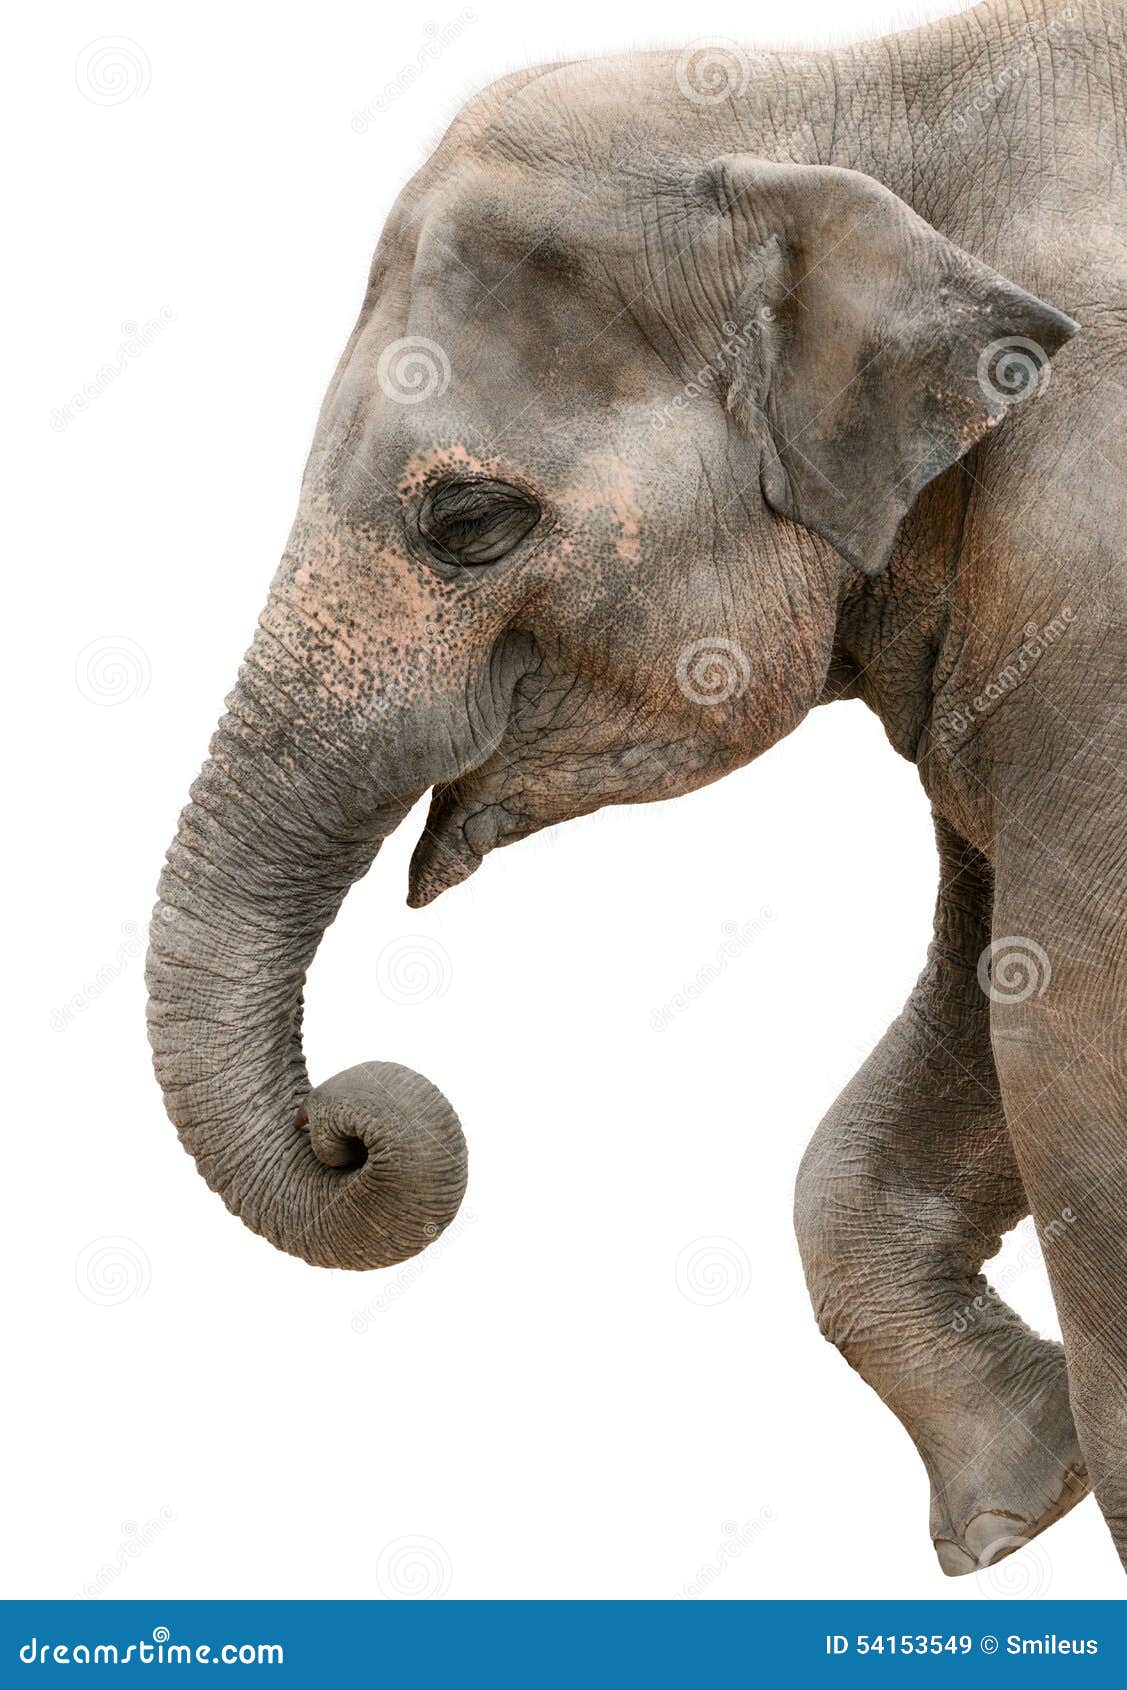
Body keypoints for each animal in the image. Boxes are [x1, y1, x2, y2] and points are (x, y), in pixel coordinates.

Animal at [146, 0, 1126, 1577]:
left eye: (467, 520)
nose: (348, 1123)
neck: (850, 99)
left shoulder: (1089, 584)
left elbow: (1068, 1040)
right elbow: (1001, 990)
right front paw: (1012, 1515)